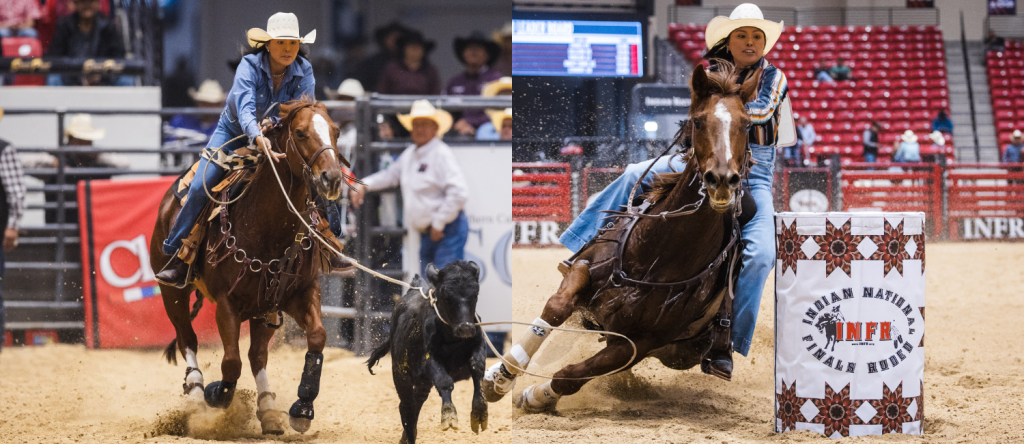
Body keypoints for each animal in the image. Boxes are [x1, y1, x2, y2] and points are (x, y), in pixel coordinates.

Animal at [149, 98, 348, 435]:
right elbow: (231, 362)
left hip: (264, 309)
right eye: (300, 132)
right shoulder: (226, 303)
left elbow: (318, 336)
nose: (332, 178)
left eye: (335, 130)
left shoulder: (298, 293)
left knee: (257, 355)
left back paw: (268, 409)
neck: (265, 225)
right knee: (188, 338)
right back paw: (196, 394)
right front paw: (216, 394)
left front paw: (302, 407)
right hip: (171, 292)